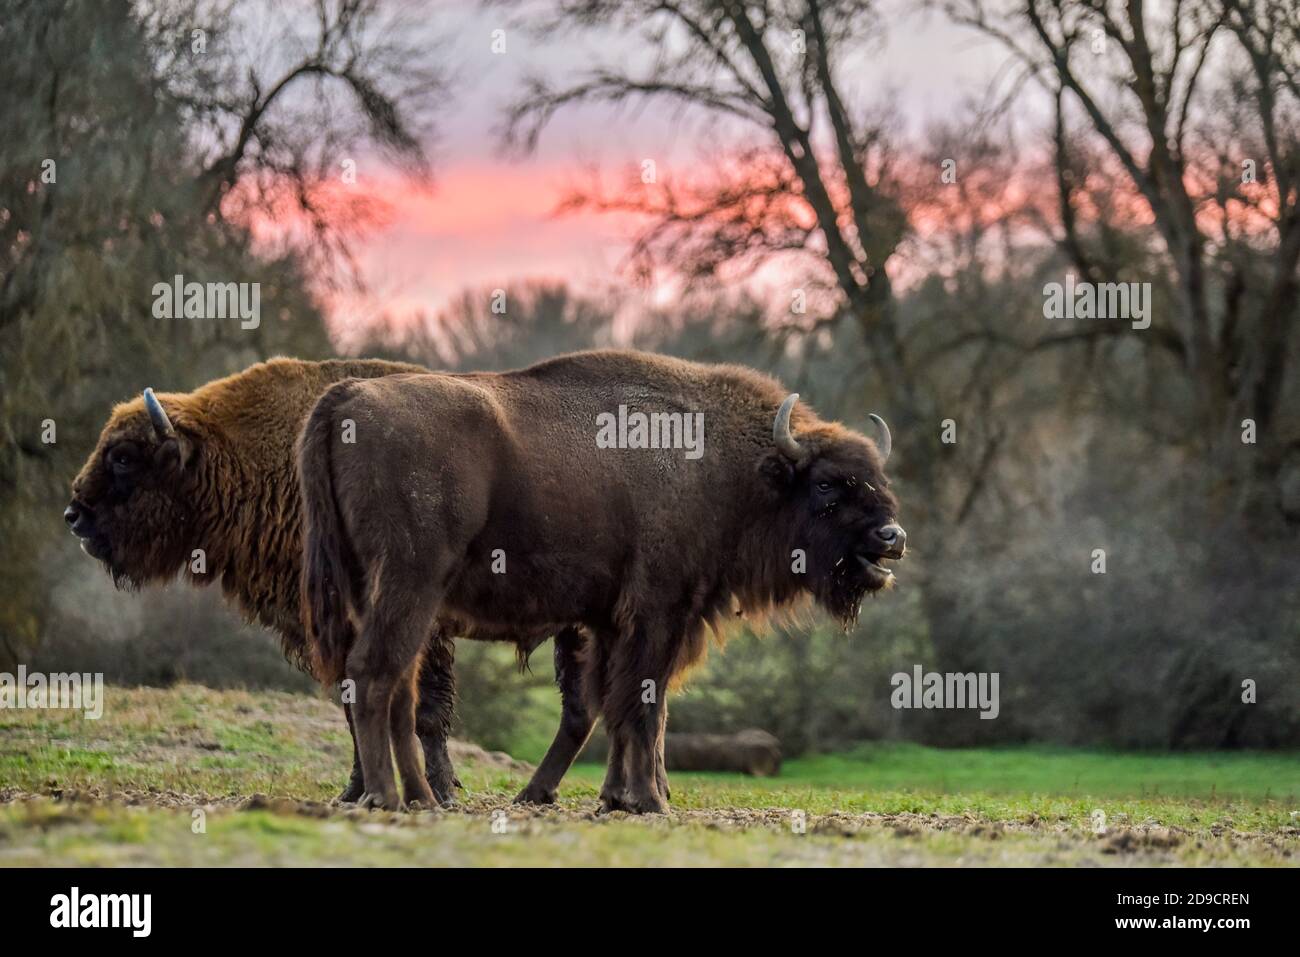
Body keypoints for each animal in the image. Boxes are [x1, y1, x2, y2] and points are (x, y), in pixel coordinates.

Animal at [65, 358, 590, 806]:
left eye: (123, 456)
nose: (74, 516)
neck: (238, 453)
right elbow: (354, 707)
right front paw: (356, 791)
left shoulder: (423, 627)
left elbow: (426, 711)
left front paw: (441, 791)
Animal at [300, 349, 905, 813]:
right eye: (826, 485)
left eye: (879, 479)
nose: (892, 537)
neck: (728, 463)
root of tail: (347, 396)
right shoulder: (659, 613)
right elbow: (643, 706)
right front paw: (650, 801)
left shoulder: (614, 623)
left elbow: (619, 705)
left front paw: (618, 798)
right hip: (410, 585)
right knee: (373, 675)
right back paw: (389, 798)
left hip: (382, 596)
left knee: (395, 689)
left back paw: (419, 798)